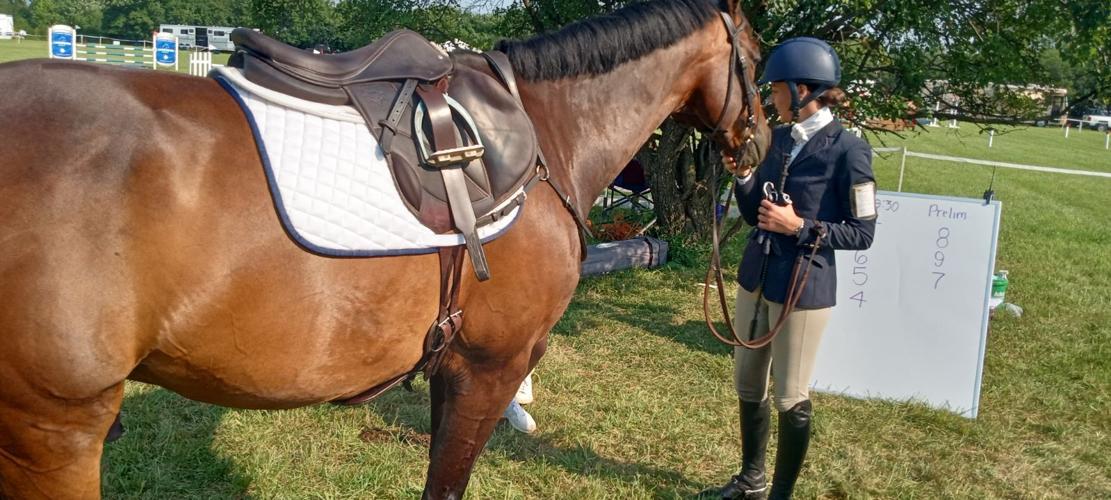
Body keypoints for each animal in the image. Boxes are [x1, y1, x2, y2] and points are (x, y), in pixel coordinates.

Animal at [0, 0, 768, 497]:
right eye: (757, 57)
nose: (759, 142)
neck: (545, 135)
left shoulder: (456, 366)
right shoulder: (487, 366)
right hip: (56, 431)